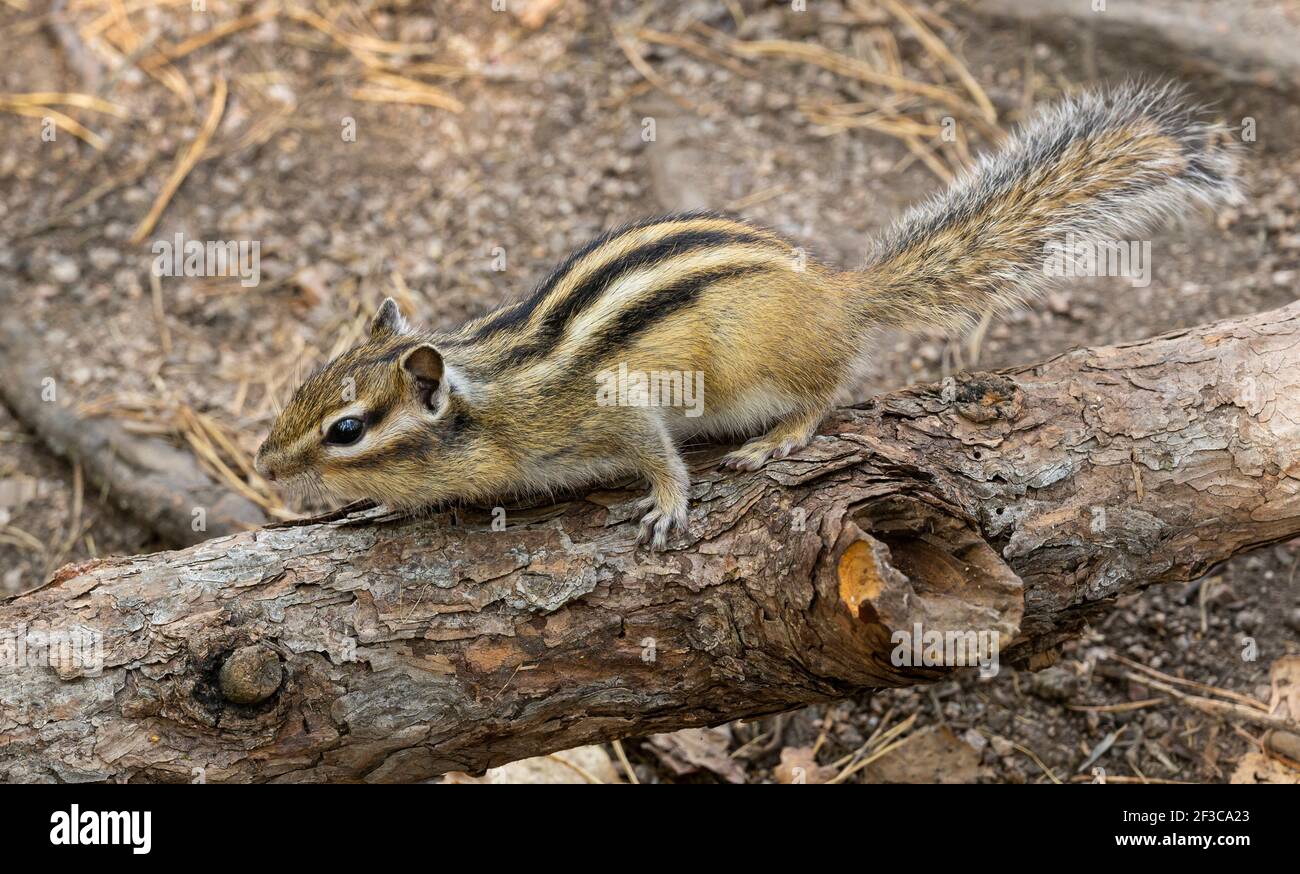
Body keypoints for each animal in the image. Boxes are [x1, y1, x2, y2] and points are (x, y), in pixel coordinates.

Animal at [254, 82, 1241, 549]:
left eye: (346, 429)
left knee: (826, 392)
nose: (265, 464)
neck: (486, 389)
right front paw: (373, 511)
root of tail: (837, 291)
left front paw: (666, 505)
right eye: (304, 386)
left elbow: (656, 451)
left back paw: (778, 440)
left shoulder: (601, 411)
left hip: (758, 366)